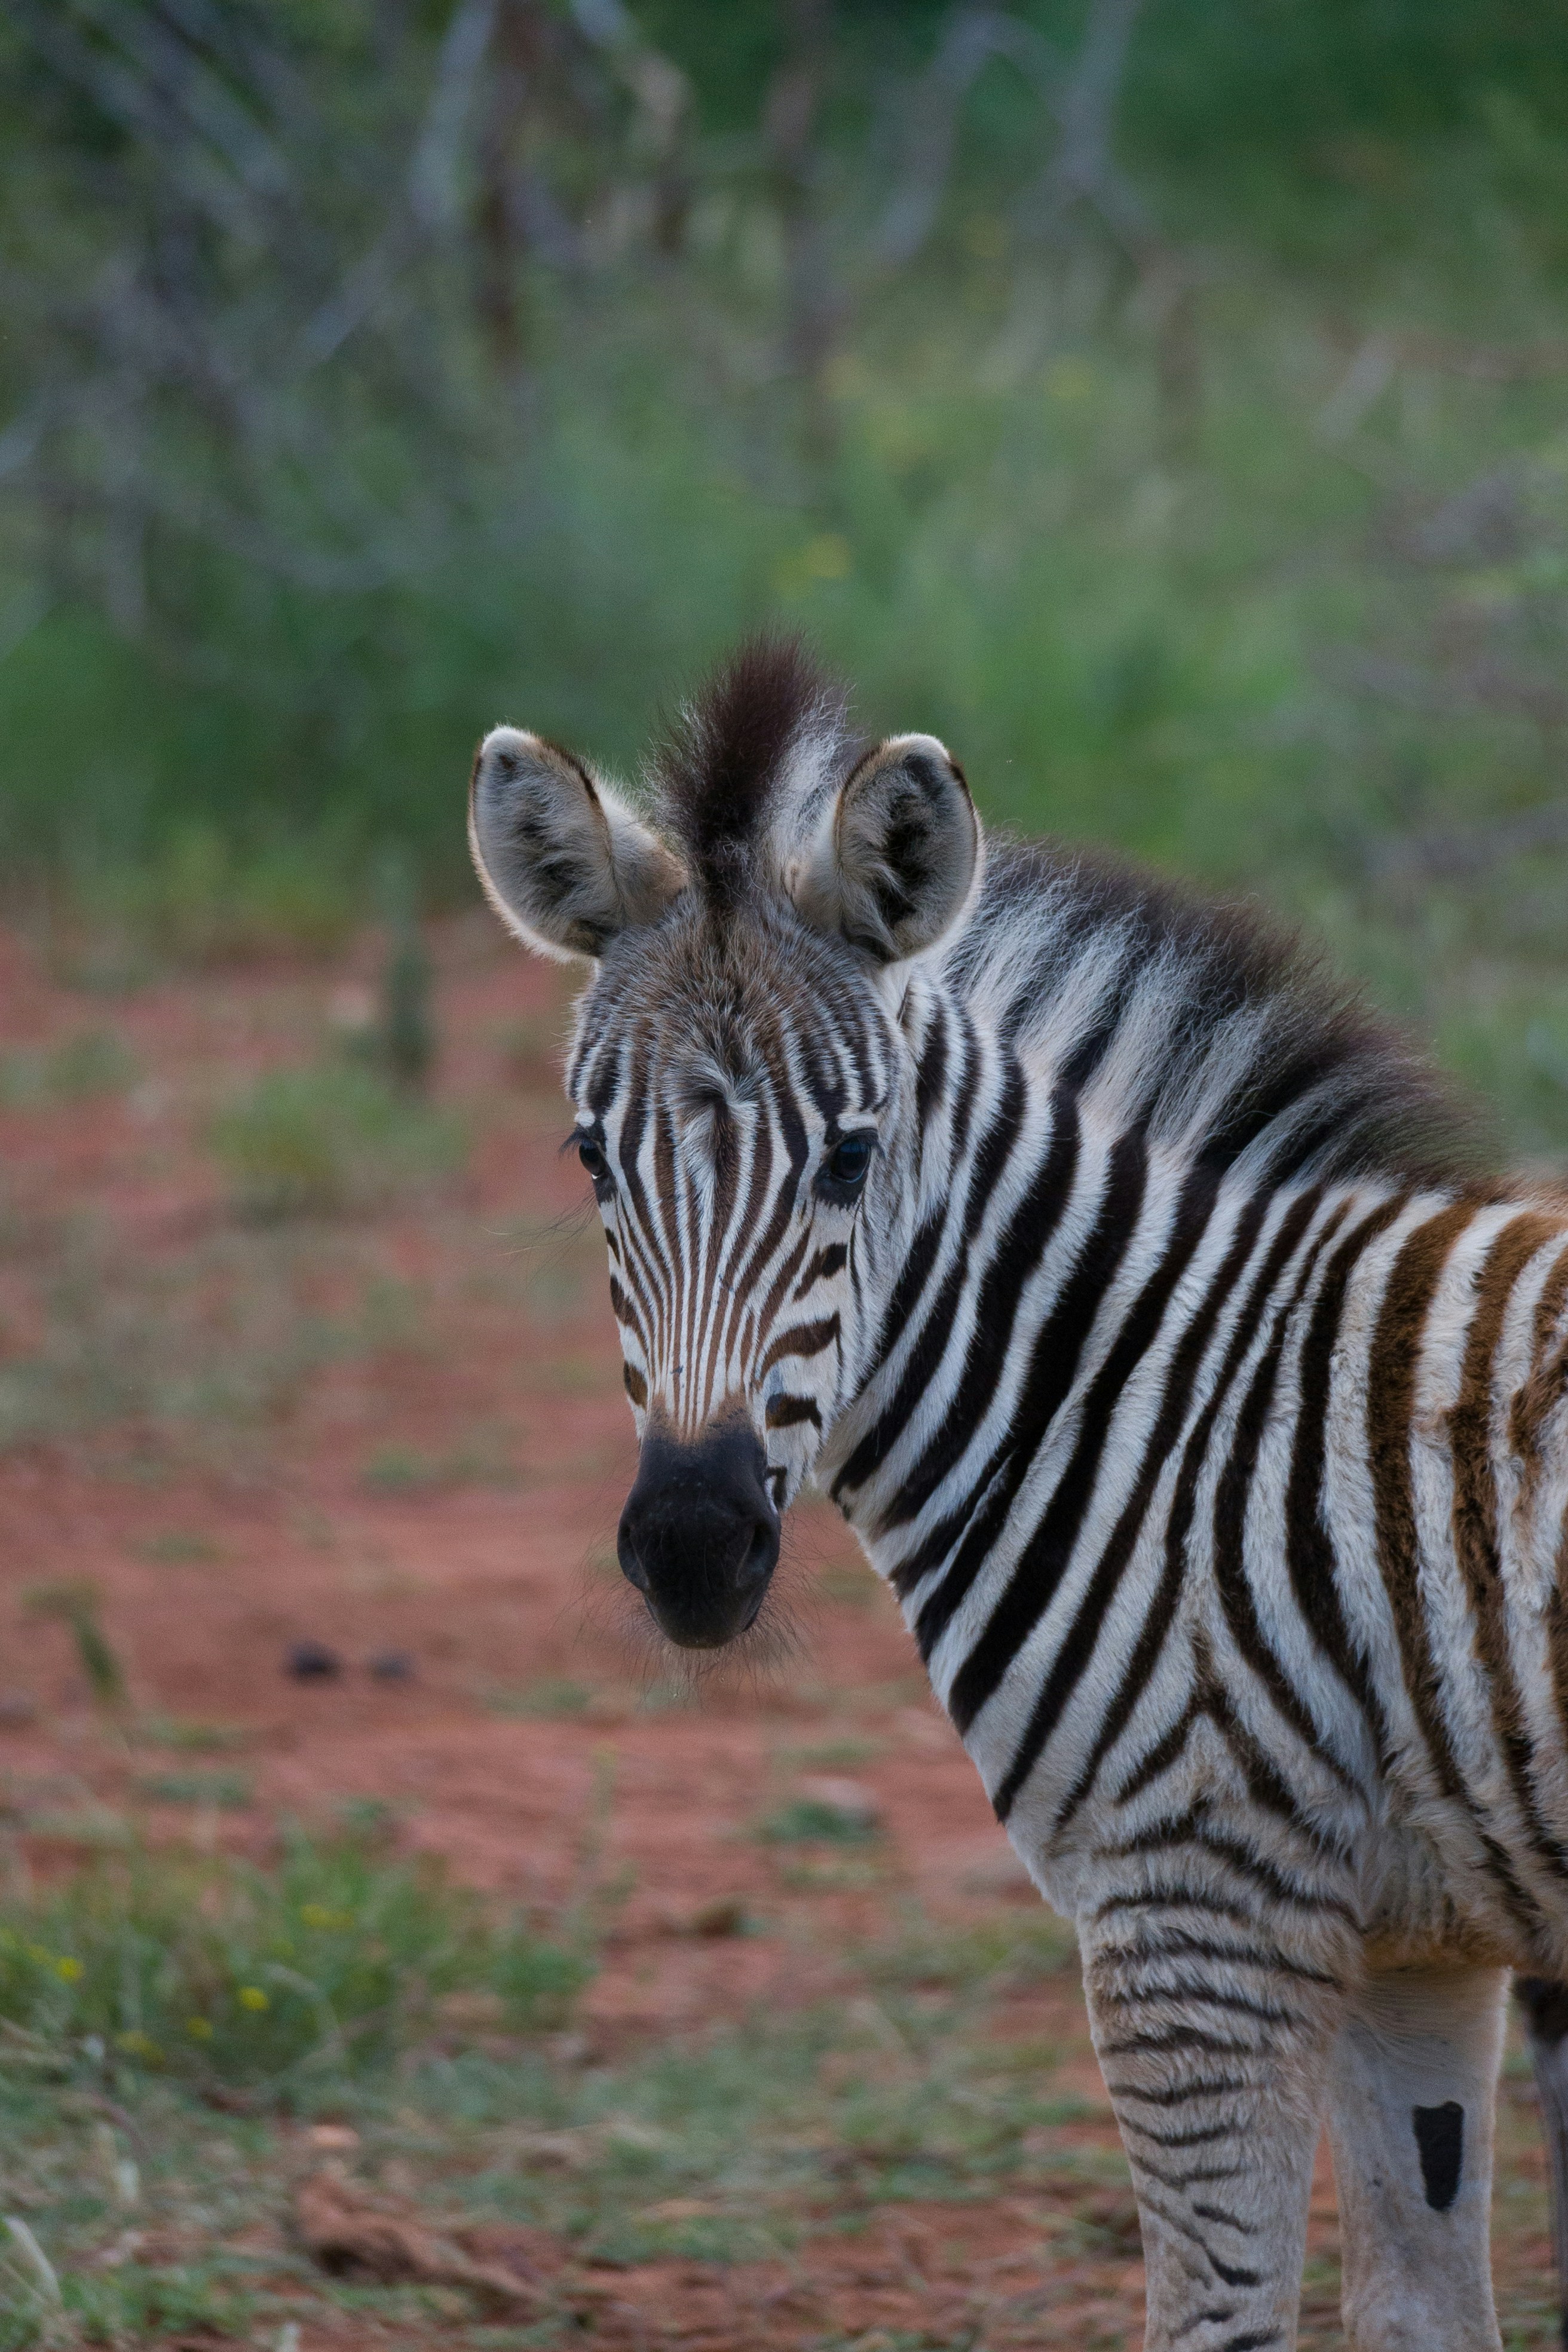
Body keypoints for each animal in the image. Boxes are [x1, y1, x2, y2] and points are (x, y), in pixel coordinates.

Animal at [469, 637, 1568, 2351]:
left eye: (852, 1160)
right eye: (591, 1158)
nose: (693, 1549)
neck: (1161, 1404)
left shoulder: (1193, 1919)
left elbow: (1213, 2322)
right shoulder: (1417, 1945)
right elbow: (1419, 2314)